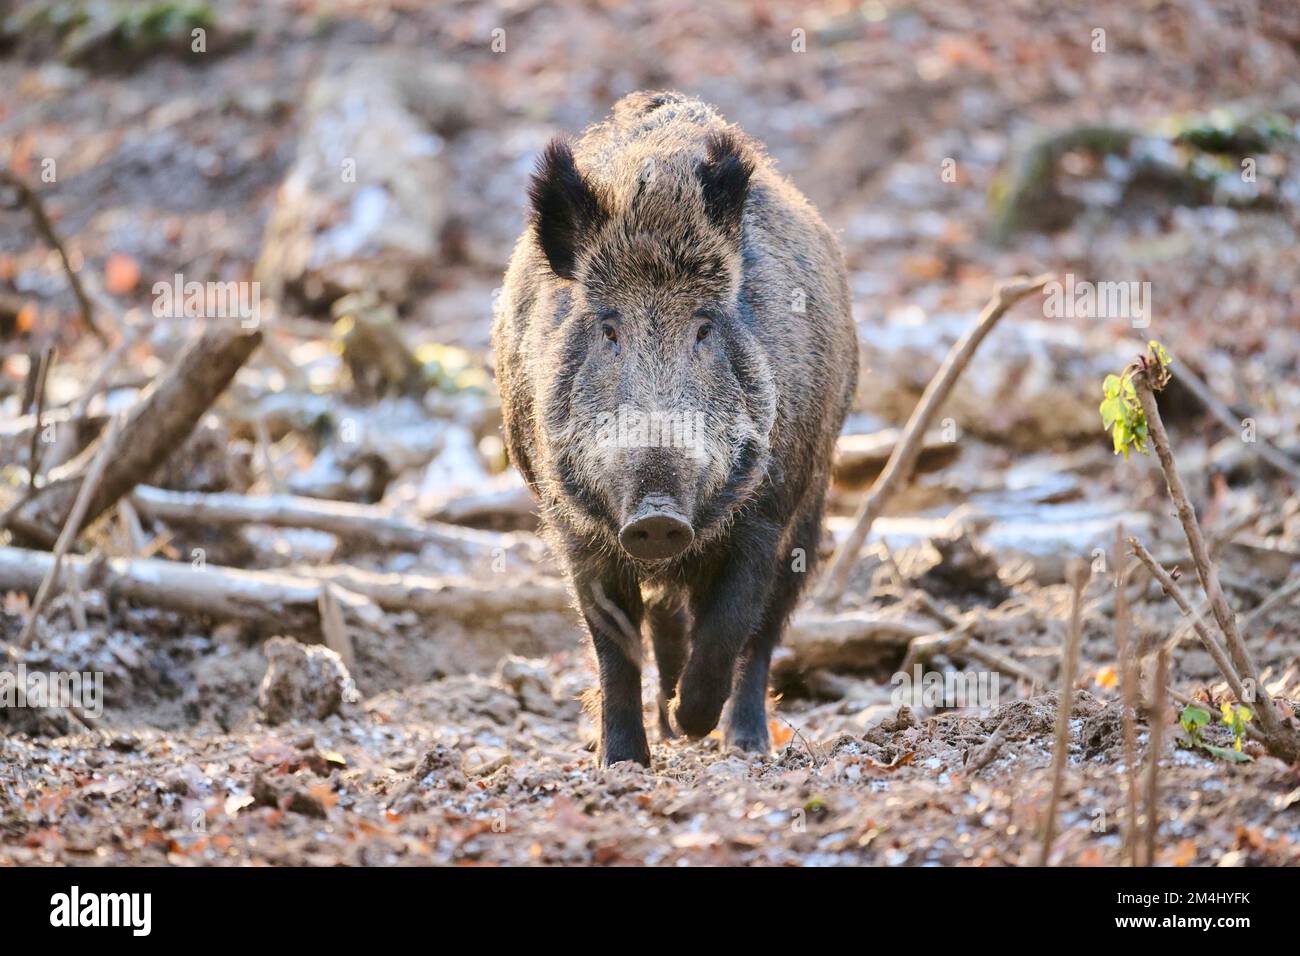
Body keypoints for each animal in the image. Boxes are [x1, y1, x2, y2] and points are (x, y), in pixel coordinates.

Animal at [492, 91, 857, 766]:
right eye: (609, 329)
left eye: (704, 328)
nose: (657, 516)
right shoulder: (573, 525)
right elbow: (612, 646)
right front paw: (623, 760)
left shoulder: (767, 514)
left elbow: (731, 627)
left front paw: (695, 724)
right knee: (665, 619)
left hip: (814, 496)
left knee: (766, 631)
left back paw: (743, 743)